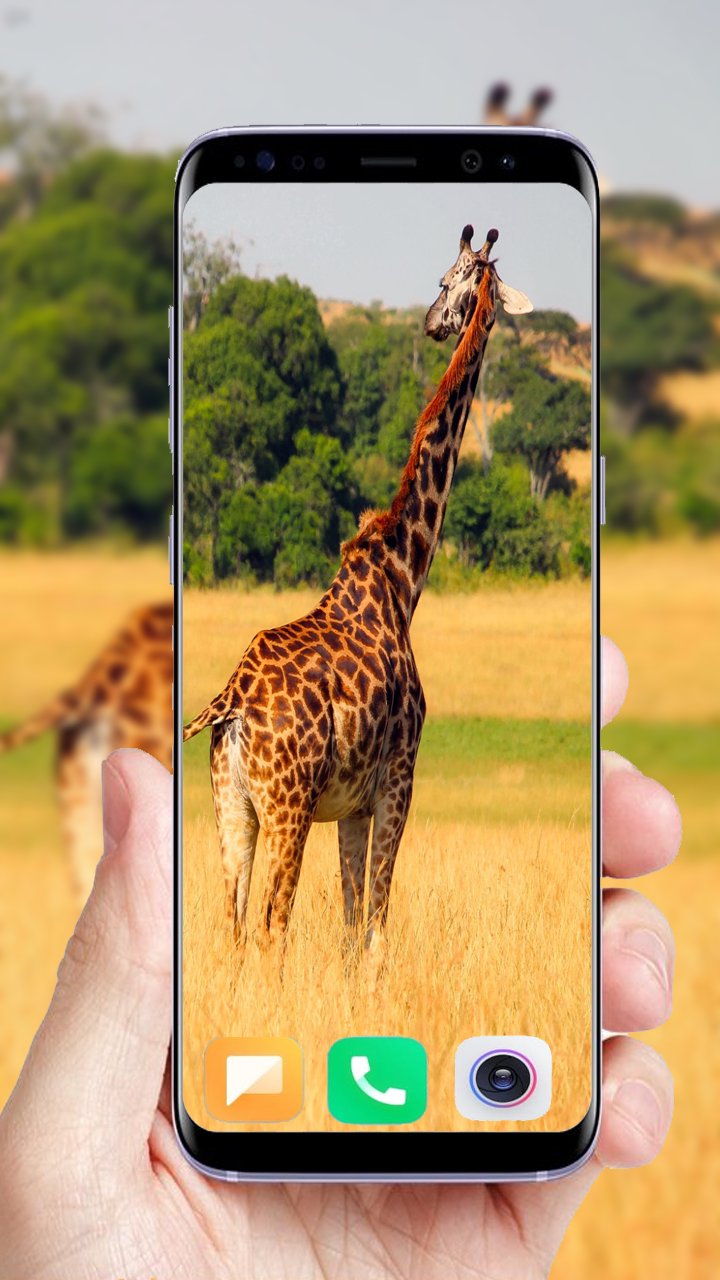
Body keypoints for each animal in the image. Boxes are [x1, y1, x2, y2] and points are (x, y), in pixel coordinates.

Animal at [183, 225, 533, 957]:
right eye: (446, 278)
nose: (432, 322)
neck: (403, 579)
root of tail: (230, 703)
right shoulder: (399, 776)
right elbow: (375, 924)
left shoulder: (349, 806)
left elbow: (349, 928)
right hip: (286, 808)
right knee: (272, 927)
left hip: (232, 808)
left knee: (234, 926)